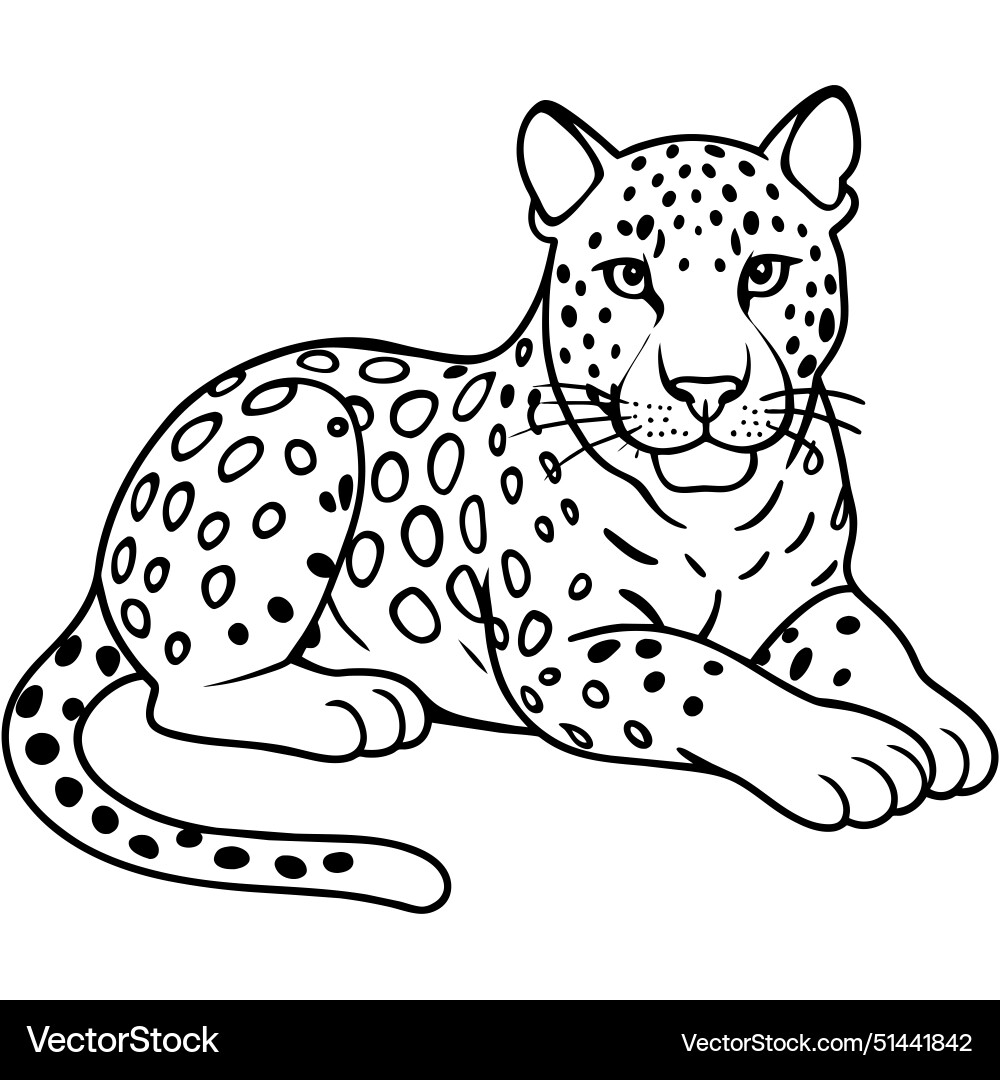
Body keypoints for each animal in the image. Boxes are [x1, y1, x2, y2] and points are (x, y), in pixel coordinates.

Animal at [5, 87, 995, 912]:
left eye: (763, 272)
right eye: (631, 278)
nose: (706, 387)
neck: (714, 511)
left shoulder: (812, 598)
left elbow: (870, 643)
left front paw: (941, 721)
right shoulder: (557, 648)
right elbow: (696, 673)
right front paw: (845, 749)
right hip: (305, 430)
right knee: (183, 686)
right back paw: (349, 705)